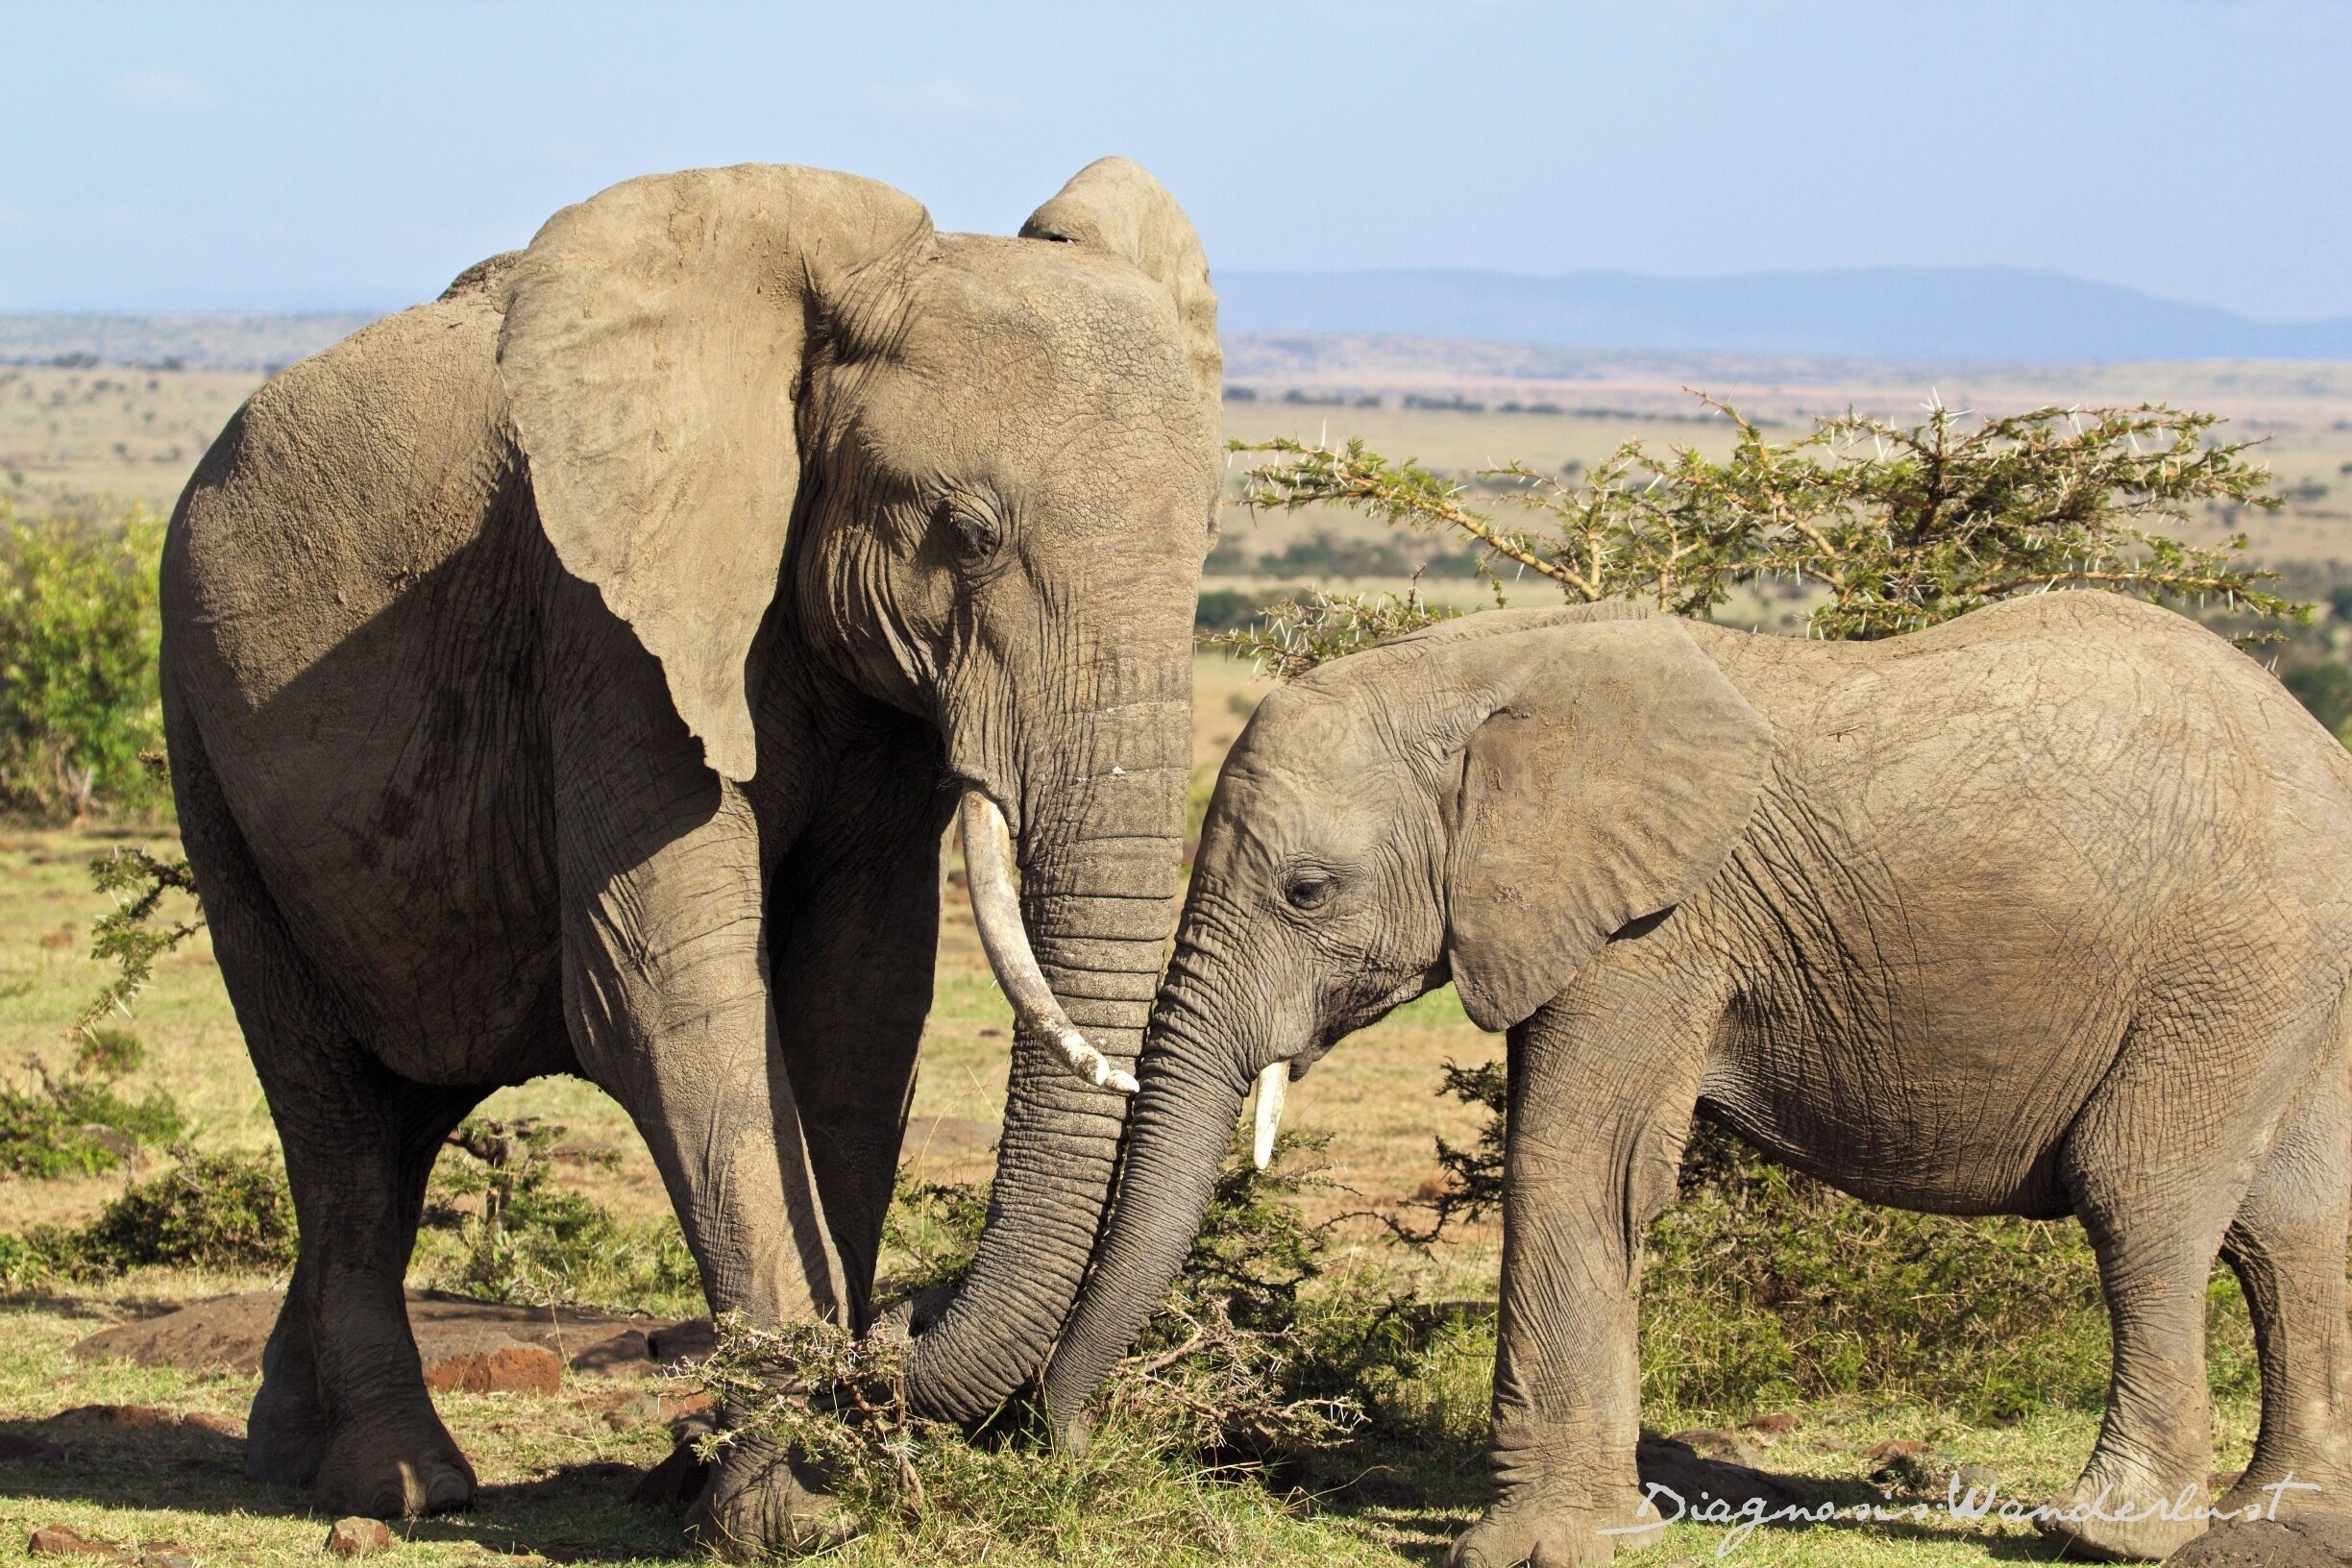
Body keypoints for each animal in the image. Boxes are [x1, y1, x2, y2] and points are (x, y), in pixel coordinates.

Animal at [158, 156, 1219, 1549]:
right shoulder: (602, 626)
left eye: (1209, 547)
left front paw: (739, 1473)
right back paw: (400, 1482)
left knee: (402, 1119)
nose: (898, 1336)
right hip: (203, 743)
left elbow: (859, 1008)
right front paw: (791, 1512)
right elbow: (666, 999)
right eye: (969, 533)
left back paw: (286, 1453)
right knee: (330, 1110)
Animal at [1044, 595, 2352, 1565]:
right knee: (2287, 1223)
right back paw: (2281, 1515)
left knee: (2143, 1195)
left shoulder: (1655, 926)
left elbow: (1582, 1163)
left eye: (1307, 892)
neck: (1484, 674)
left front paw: (1531, 1548)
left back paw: (2109, 1531)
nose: (1061, 1440)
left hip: (2228, 960)